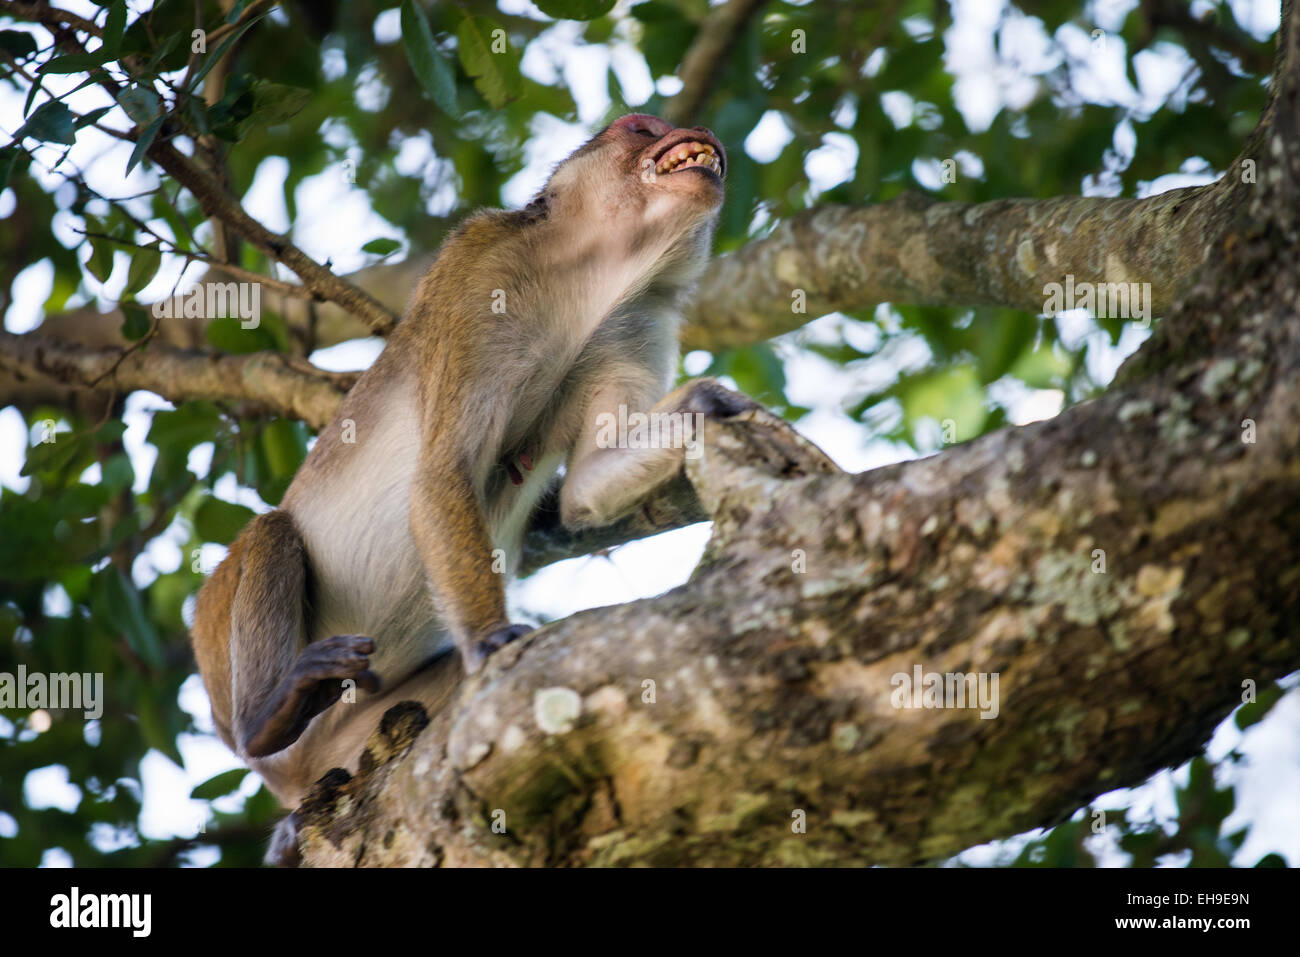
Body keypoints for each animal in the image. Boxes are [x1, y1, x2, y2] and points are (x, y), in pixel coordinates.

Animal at [189, 114, 757, 859]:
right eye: (639, 128)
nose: (692, 132)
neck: (591, 277)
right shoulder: (479, 269)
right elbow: (444, 471)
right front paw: (490, 637)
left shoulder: (639, 322)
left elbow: (585, 486)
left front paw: (710, 404)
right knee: (272, 531)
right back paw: (270, 713)